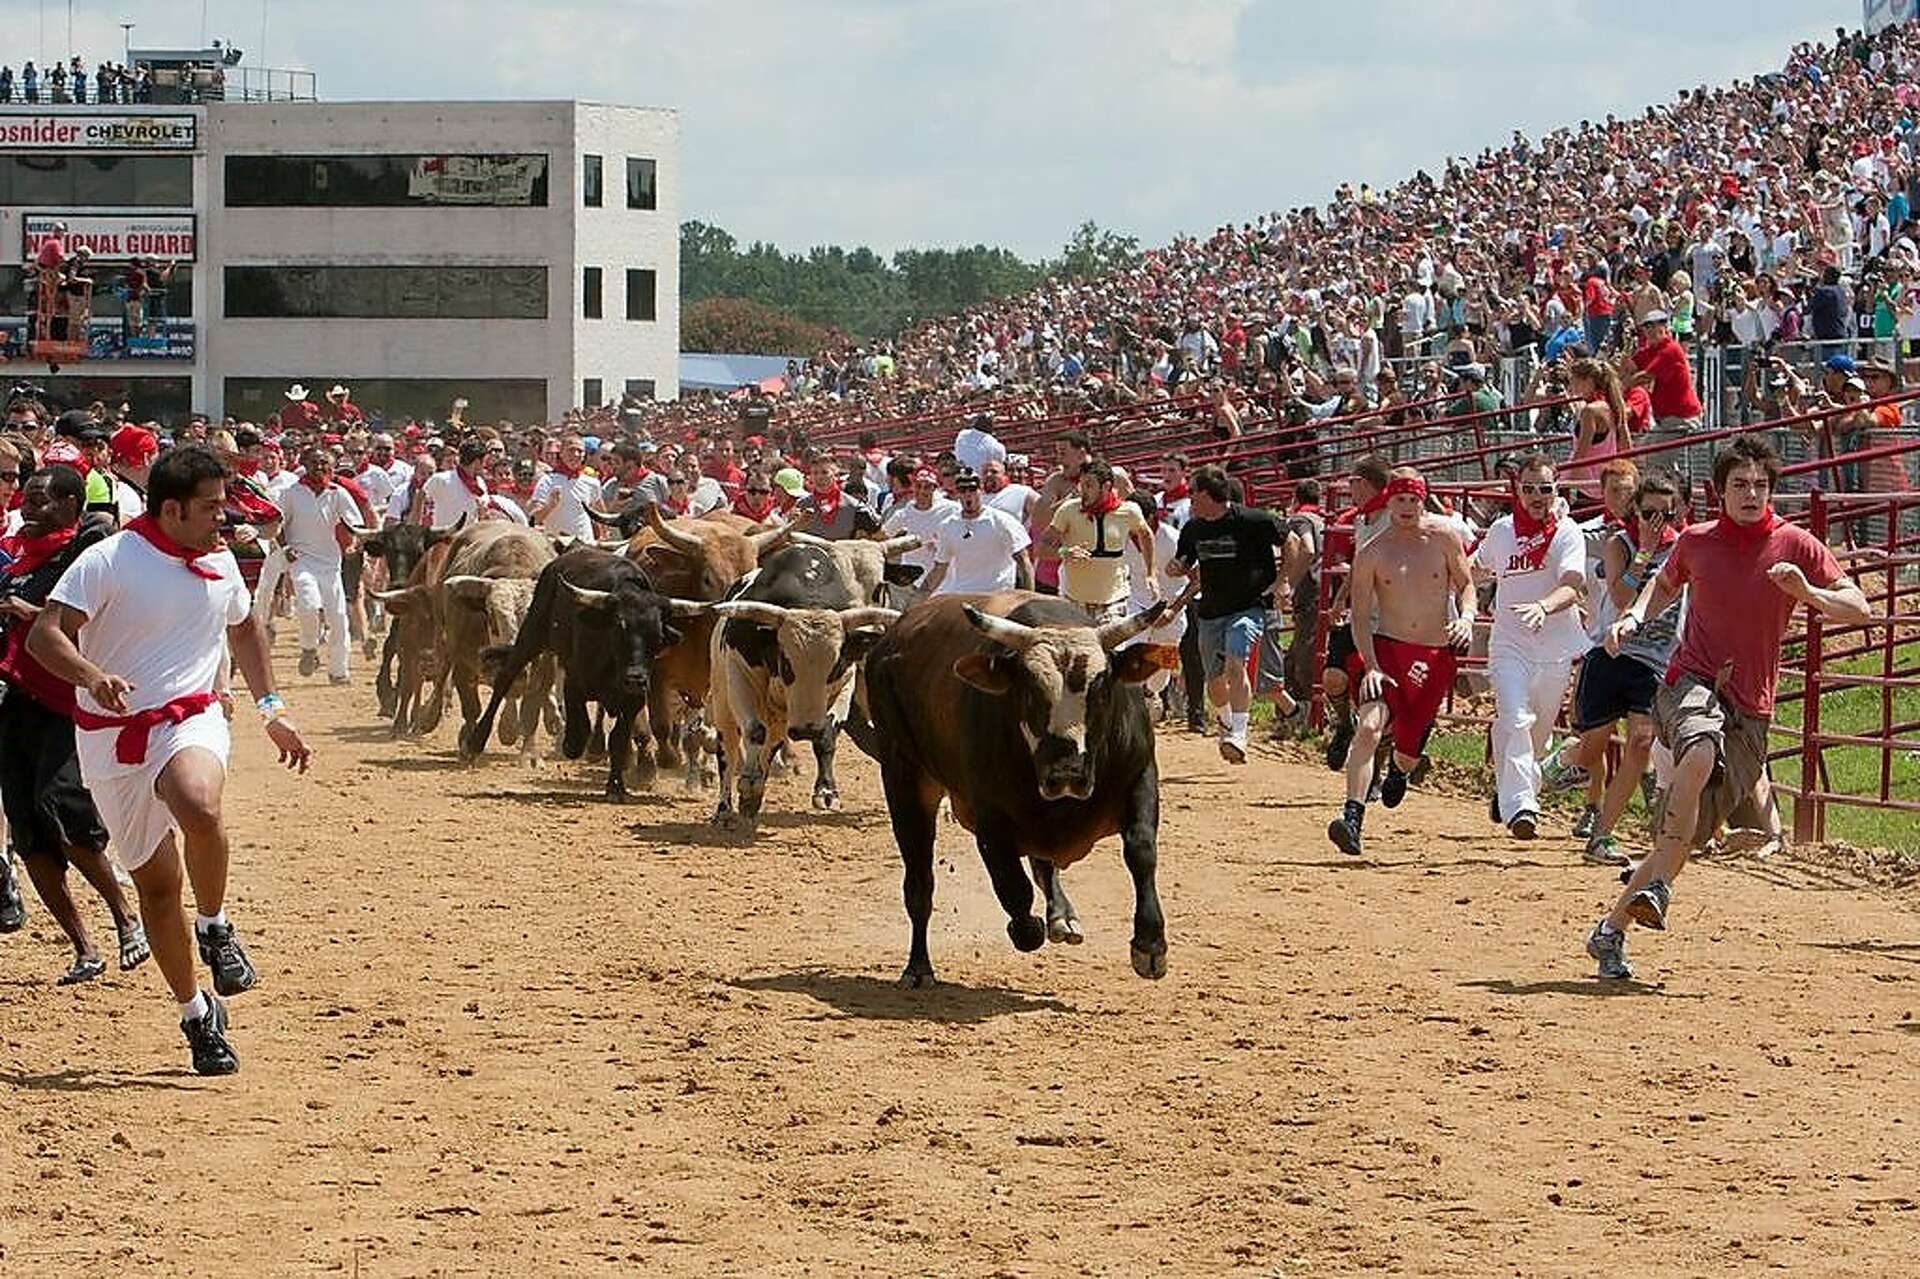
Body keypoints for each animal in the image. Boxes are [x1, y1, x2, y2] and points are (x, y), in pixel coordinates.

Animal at [464, 548, 700, 798]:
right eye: (619, 628)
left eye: (657, 637)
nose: (635, 679)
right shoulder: (574, 682)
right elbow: (580, 730)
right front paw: (570, 744)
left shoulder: (633, 700)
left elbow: (618, 739)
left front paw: (616, 786)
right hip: (533, 631)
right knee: (506, 676)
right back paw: (476, 741)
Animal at [707, 542, 899, 832]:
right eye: (786, 662)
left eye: (834, 664)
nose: (806, 729)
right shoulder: (740, 675)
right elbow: (753, 731)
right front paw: (748, 782)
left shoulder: (846, 682)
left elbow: (826, 736)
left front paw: (827, 792)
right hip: (722, 697)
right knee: (727, 748)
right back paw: (726, 807)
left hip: (778, 713)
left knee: (772, 743)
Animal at [857, 592, 1175, 987]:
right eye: (1030, 691)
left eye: (1100, 689)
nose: (1066, 772)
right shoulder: (989, 817)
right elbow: (1011, 884)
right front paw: (1026, 928)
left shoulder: (1140, 777)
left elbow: (1141, 851)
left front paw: (1150, 944)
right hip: (905, 779)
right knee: (919, 883)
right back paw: (918, 968)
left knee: (1043, 865)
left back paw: (1062, 915)